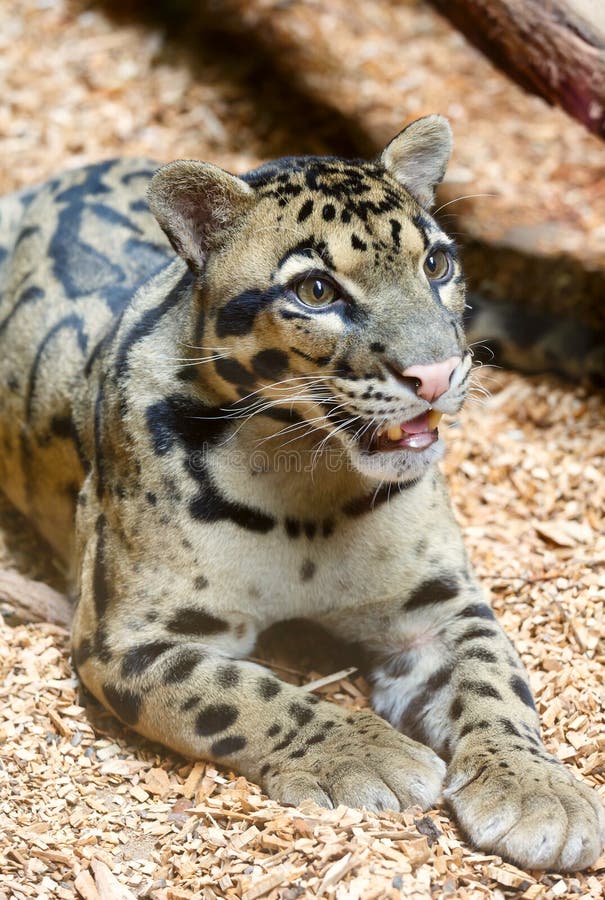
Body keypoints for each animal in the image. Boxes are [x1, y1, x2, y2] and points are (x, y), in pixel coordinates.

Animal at [0, 115, 603, 872]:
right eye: (316, 291)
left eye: (435, 264)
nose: (437, 372)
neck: (305, 490)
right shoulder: (125, 632)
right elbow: (242, 694)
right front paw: (366, 755)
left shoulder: (434, 602)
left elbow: (492, 675)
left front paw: (536, 788)